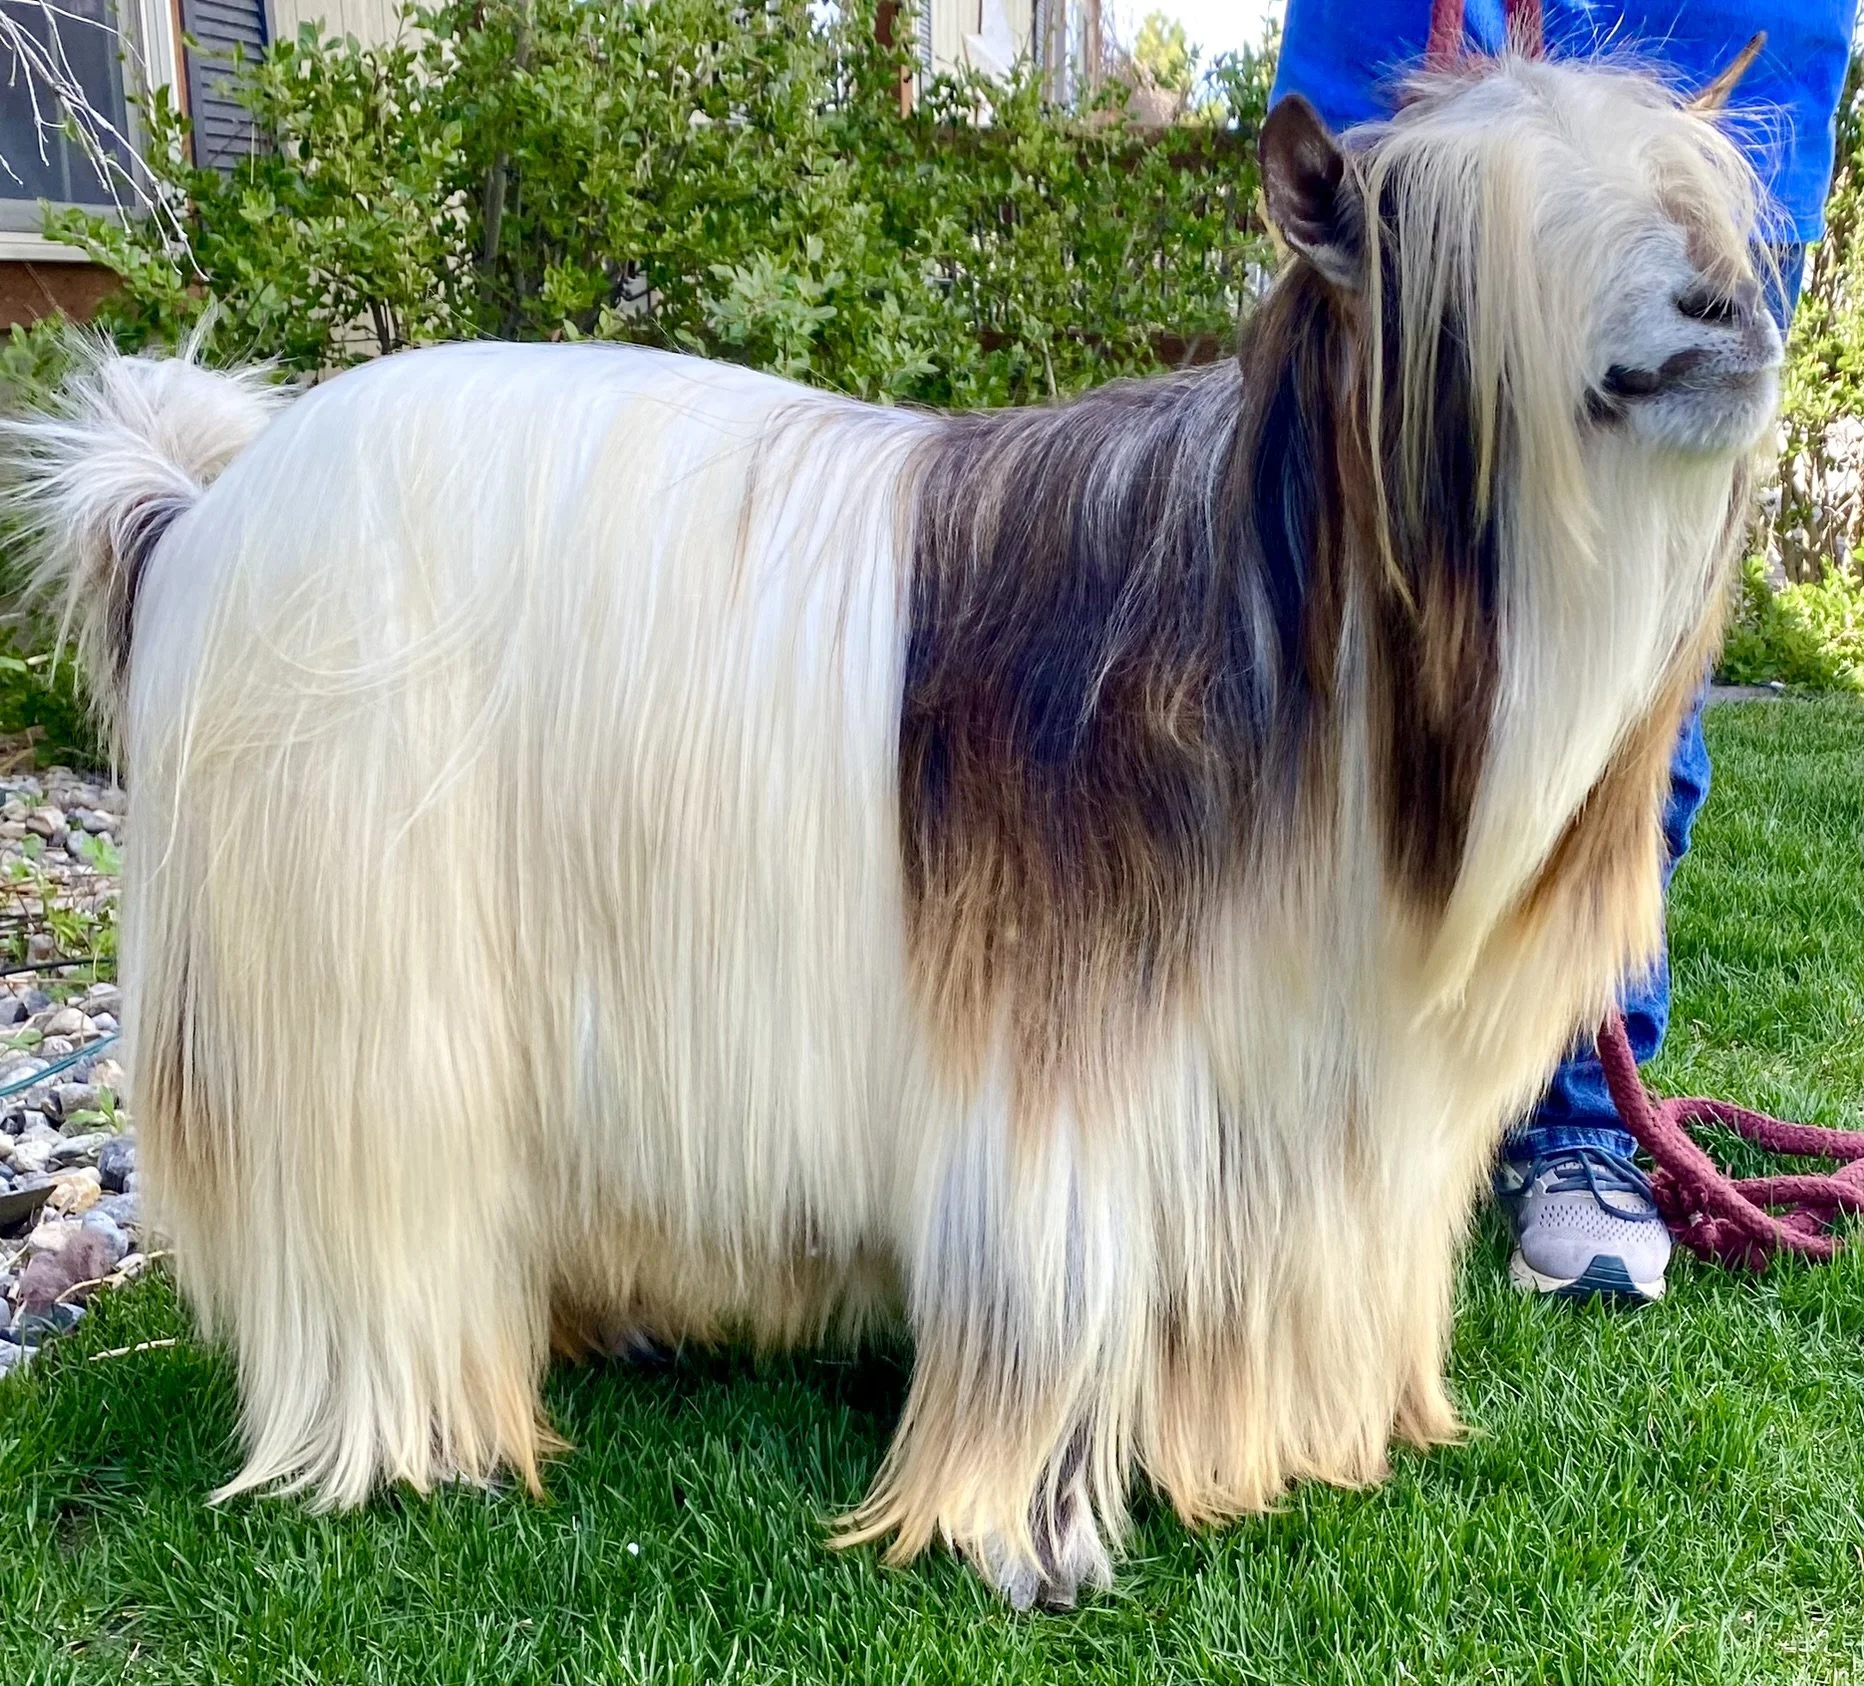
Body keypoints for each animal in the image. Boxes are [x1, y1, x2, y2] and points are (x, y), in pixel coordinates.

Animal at [2, 50, 1781, 1606]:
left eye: (1699, 198)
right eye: (1490, 235)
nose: (1730, 308)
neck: (1298, 634)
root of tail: (197, 521)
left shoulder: (1285, 1088)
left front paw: (1255, 1452)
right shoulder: (1058, 1053)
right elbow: (1045, 1278)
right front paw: (1024, 1535)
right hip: (355, 982)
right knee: (376, 1219)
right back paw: (410, 1435)